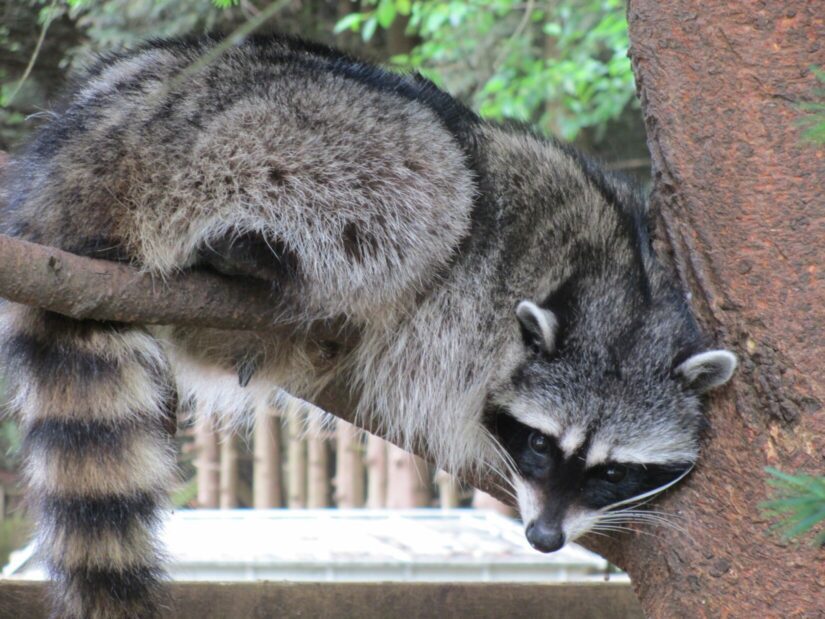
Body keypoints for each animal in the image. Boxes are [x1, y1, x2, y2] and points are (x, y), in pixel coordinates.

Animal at [0, 35, 736, 617]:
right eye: (539, 445)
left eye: (614, 473)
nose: (544, 539)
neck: (622, 295)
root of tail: (80, 147)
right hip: (262, 138)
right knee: (438, 179)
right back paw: (252, 255)